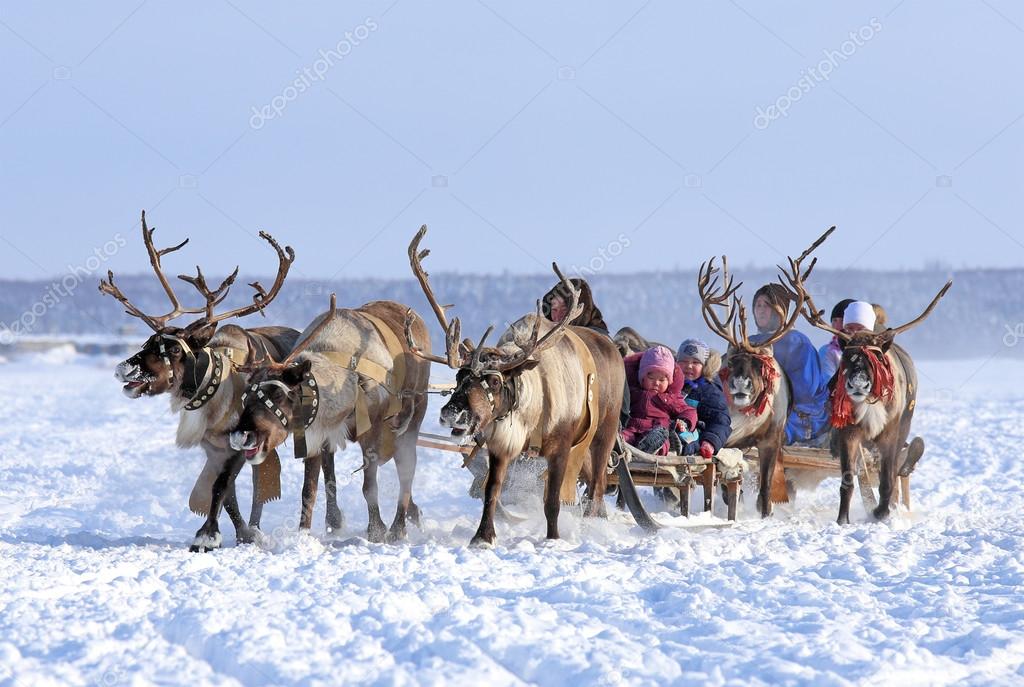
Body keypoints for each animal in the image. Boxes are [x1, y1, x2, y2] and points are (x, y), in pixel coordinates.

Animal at [99, 210, 342, 552]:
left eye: (175, 349)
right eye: (148, 341)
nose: (124, 368)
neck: (215, 391)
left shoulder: (236, 442)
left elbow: (220, 486)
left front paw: (206, 535)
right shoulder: (214, 448)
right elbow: (229, 496)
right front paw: (241, 533)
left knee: (324, 468)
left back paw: (334, 523)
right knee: (259, 479)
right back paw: (256, 526)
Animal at [228, 291, 432, 544]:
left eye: (278, 394)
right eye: (245, 395)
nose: (241, 436)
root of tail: (419, 320)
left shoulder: (372, 431)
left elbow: (369, 486)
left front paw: (376, 530)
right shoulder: (315, 436)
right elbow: (310, 490)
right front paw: (303, 534)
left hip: (414, 416)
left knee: (407, 469)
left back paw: (397, 527)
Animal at [405, 226, 625, 546]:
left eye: (495, 381)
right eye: (458, 377)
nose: (451, 413)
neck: (531, 408)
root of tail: (612, 349)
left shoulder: (561, 446)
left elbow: (553, 501)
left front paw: (553, 538)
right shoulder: (500, 445)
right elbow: (491, 491)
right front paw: (482, 536)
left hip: (605, 430)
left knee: (597, 486)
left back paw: (593, 525)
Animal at [697, 230, 832, 517]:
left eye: (759, 365)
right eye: (731, 360)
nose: (740, 383)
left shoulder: (771, 439)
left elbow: (766, 490)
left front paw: (766, 514)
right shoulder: (726, 444)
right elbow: (726, 485)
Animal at [788, 261, 952, 524]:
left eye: (876, 358)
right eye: (847, 355)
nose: (858, 384)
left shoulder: (890, 433)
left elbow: (886, 479)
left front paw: (880, 512)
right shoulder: (849, 432)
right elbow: (847, 481)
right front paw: (842, 520)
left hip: (903, 428)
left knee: (898, 469)